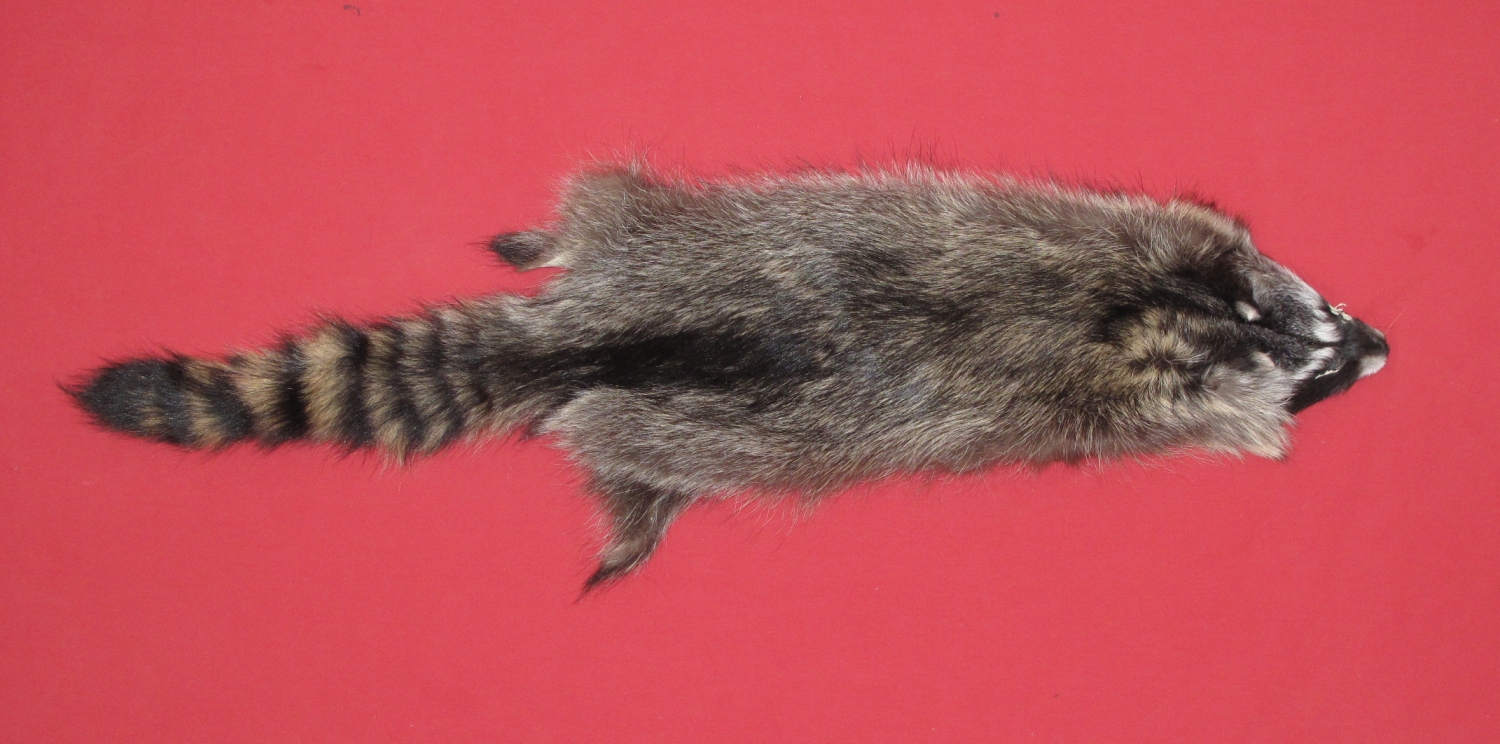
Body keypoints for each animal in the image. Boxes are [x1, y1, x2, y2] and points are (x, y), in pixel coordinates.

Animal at [68, 163, 1389, 588]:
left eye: (1326, 319)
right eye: (1325, 361)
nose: (1382, 347)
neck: (1153, 317)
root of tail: (587, 339)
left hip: (661, 239)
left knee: (604, 213)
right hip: (675, 414)